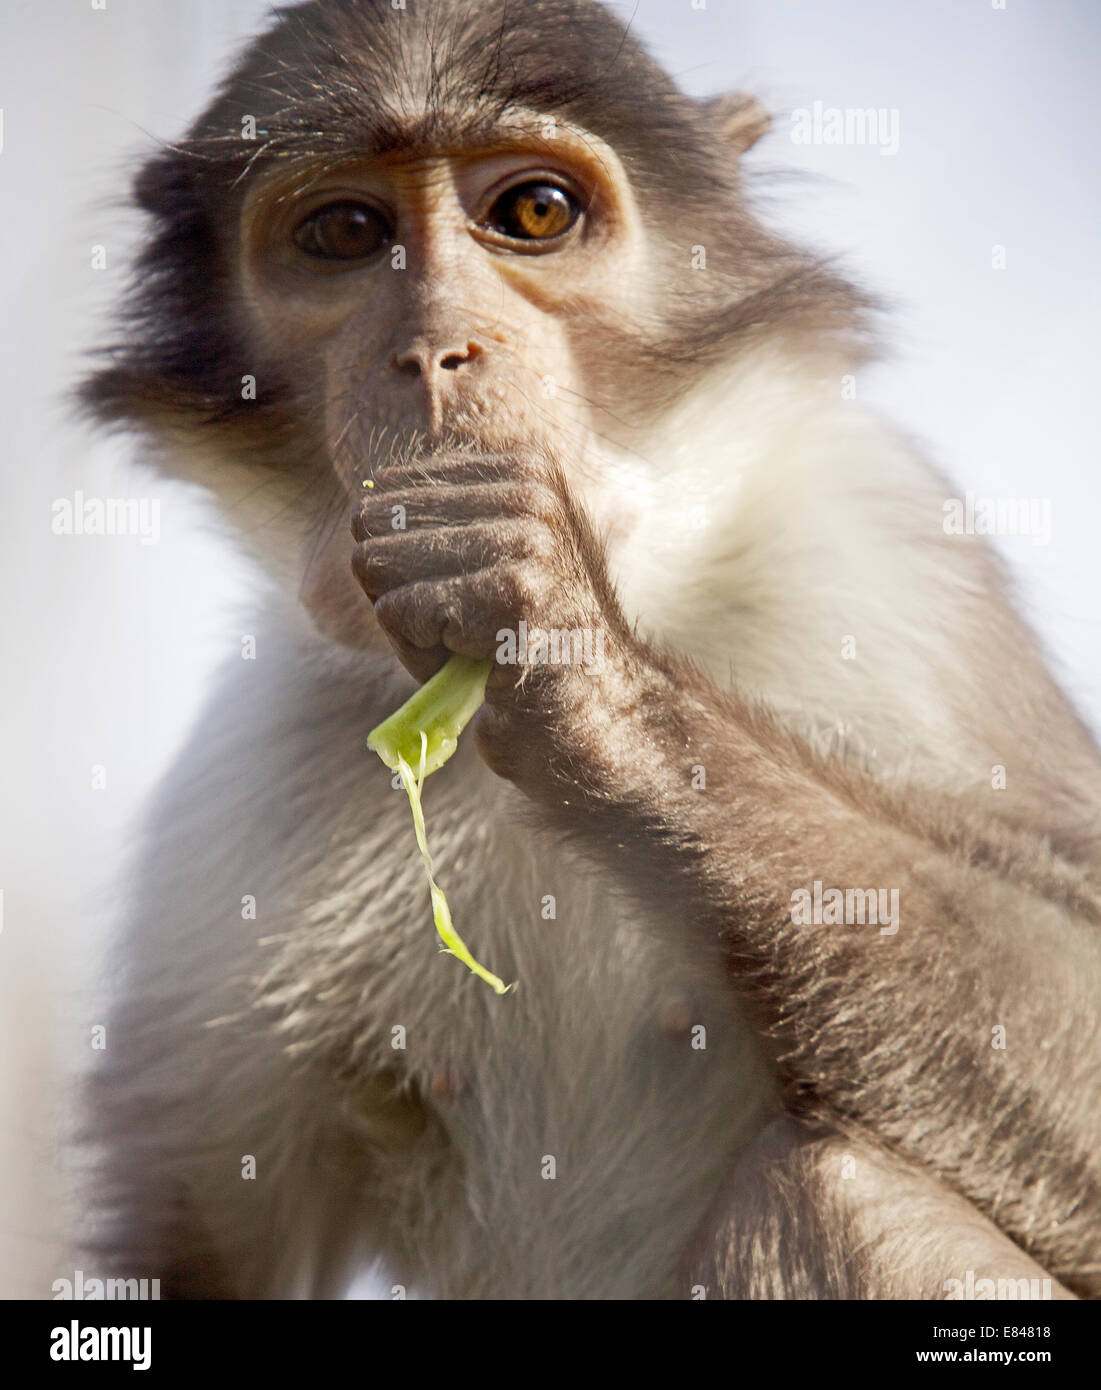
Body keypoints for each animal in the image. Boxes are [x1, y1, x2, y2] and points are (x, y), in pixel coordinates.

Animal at [75, 0, 1101, 1300]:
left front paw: (572, 662)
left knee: (840, 1189)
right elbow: (187, 1247)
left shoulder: (881, 556)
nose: (435, 350)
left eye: (535, 213)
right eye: (346, 233)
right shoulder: (260, 747)